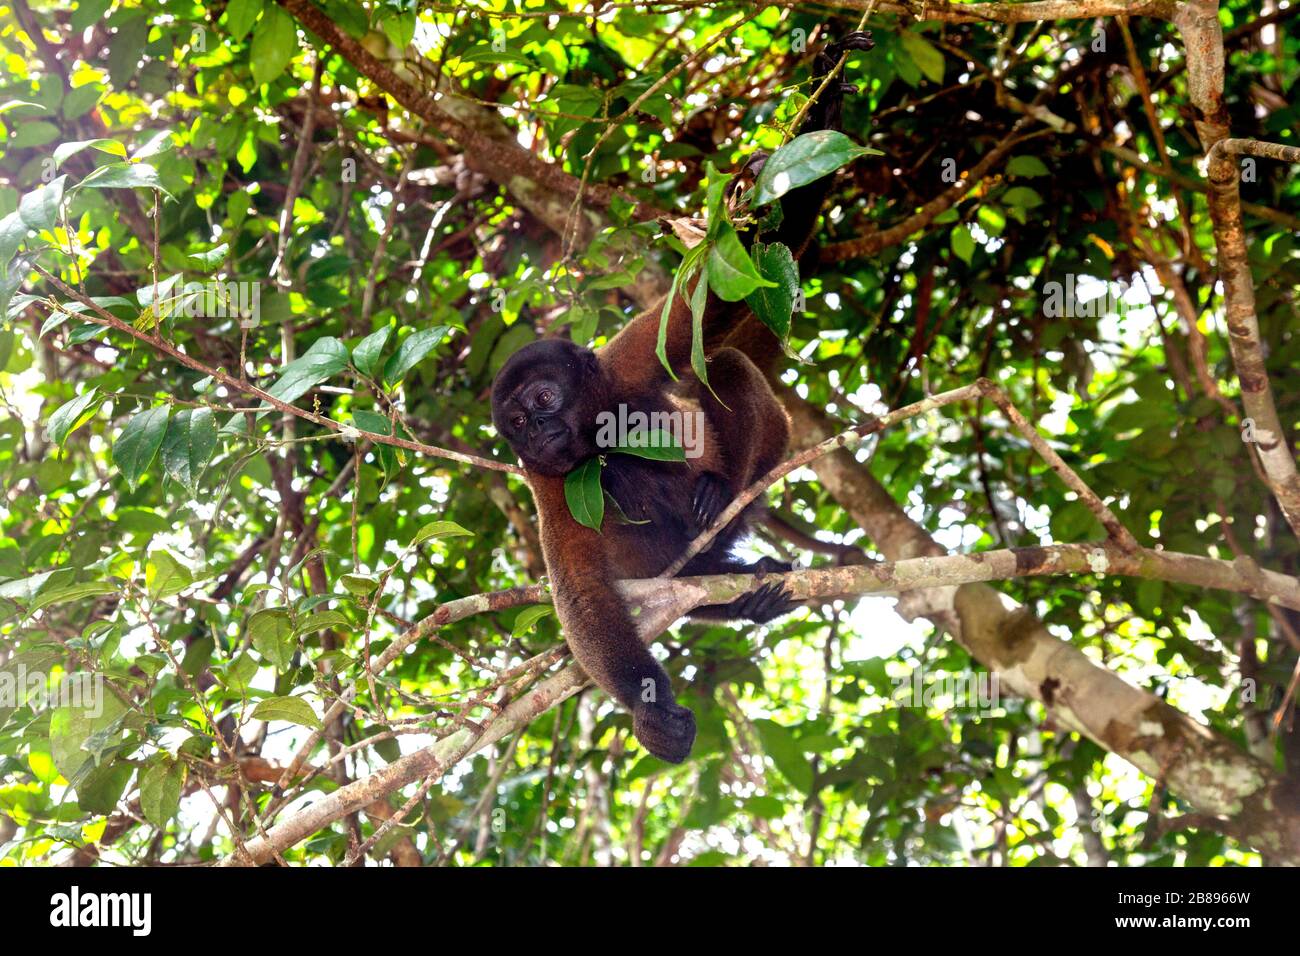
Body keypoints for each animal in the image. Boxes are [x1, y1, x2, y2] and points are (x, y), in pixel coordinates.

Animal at [491, 32, 875, 763]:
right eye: (518, 423)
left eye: (545, 399)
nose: (537, 432)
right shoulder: (545, 482)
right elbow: (582, 592)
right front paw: (651, 710)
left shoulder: (625, 361)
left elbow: (714, 306)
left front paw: (825, 100)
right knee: (622, 496)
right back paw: (725, 592)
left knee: (722, 366)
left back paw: (720, 500)